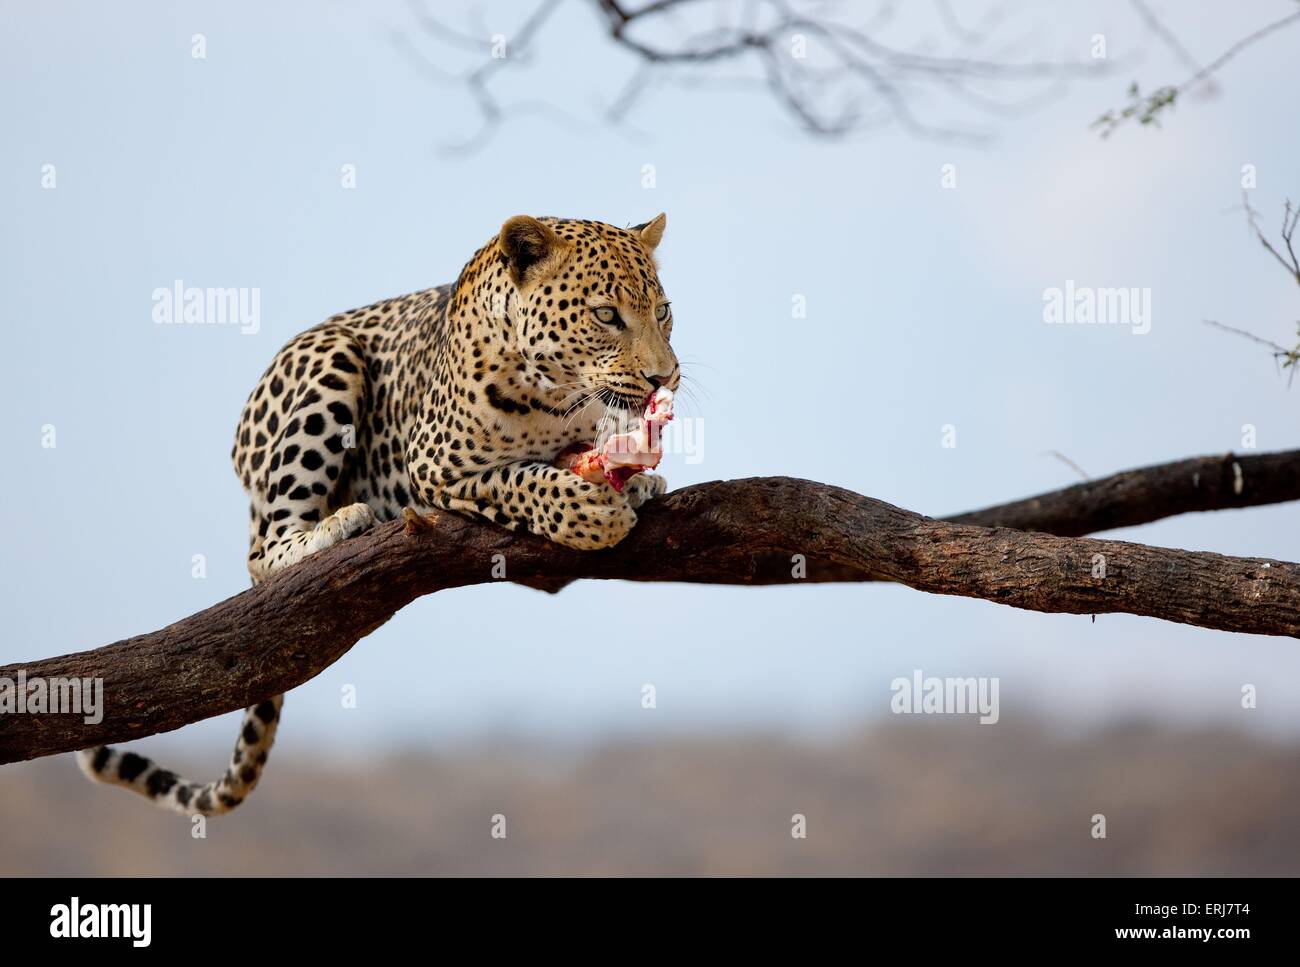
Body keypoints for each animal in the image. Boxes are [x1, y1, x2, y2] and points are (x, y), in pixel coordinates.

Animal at [77, 214, 680, 817]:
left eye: (662, 311)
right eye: (606, 315)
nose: (665, 377)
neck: (557, 396)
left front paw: (639, 481)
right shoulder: (434, 465)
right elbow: (522, 481)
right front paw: (594, 512)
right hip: (331, 365)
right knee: (262, 552)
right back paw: (337, 525)